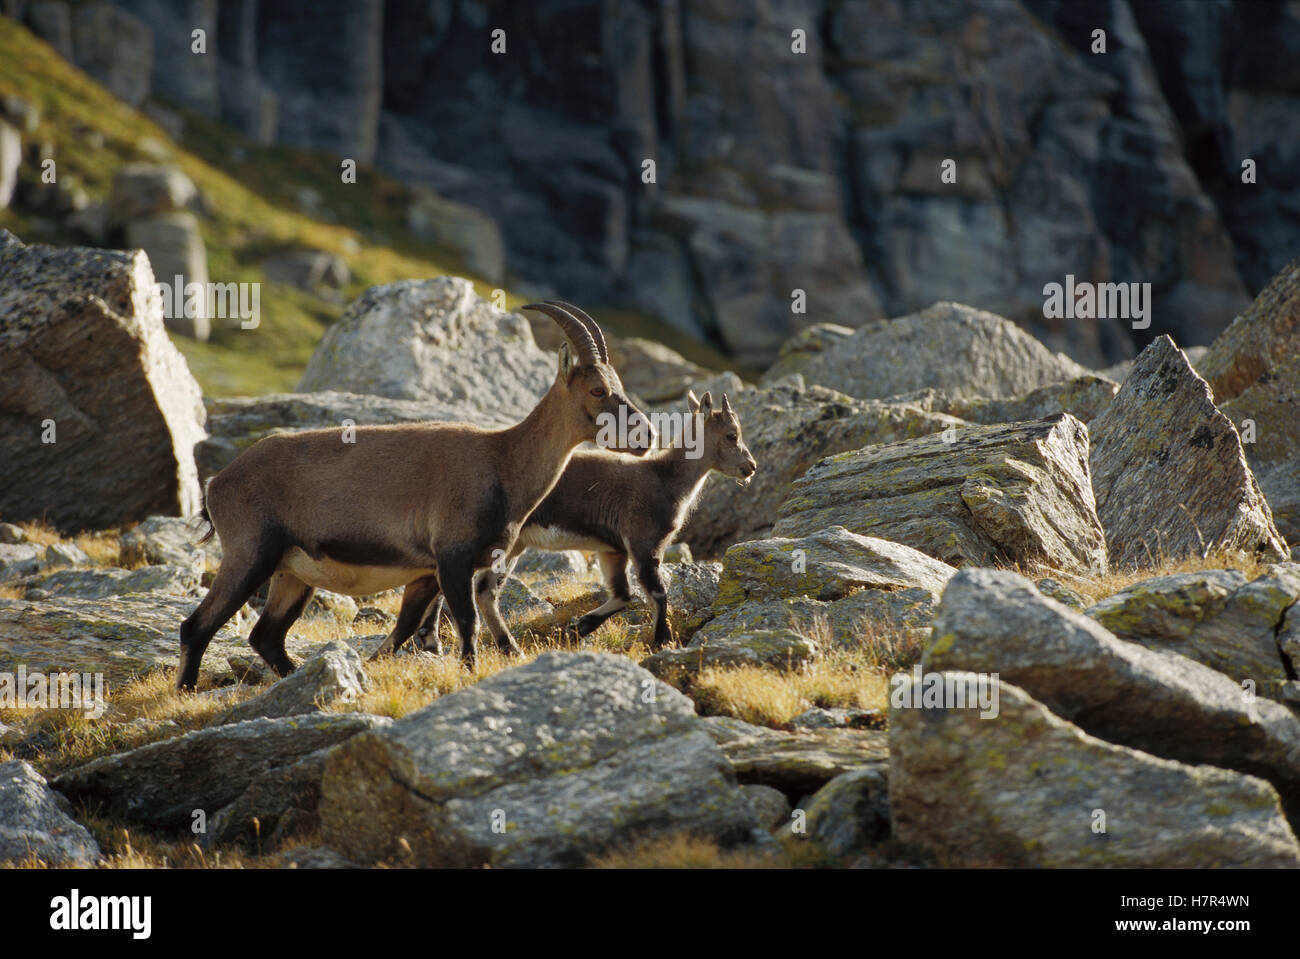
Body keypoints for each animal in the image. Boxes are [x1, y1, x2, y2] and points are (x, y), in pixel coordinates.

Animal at [176, 301, 652, 690]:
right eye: (597, 390)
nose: (646, 436)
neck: (502, 460)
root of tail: (218, 482)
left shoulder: (426, 573)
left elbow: (406, 627)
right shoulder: (453, 557)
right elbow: (467, 622)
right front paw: (467, 672)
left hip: (291, 572)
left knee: (267, 636)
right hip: (250, 553)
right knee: (197, 626)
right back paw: (186, 690)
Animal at [411, 389, 756, 654]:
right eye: (731, 435)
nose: (750, 467)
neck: (666, 479)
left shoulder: (613, 550)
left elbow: (624, 594)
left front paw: (581, 626)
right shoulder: (644, 541)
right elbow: (657, 593)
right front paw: (662, 640)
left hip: (509, 544)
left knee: (469, 587)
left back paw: (454, 641)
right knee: (473, 587)